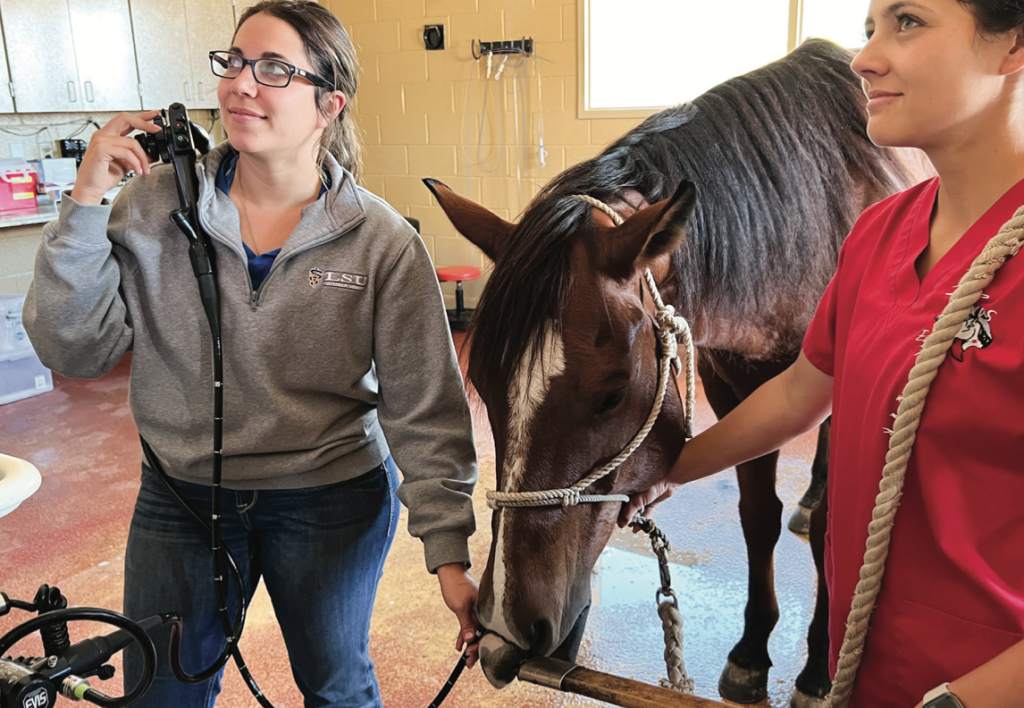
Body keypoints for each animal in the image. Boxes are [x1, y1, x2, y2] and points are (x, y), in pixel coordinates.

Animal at [425, 39, 923, 706]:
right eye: (483, 387)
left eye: (611, 396)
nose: (503, 635)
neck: (799, 229)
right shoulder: (735, 387)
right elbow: (756, 515)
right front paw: (751, 652)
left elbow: (832, 531)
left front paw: (819, 666)